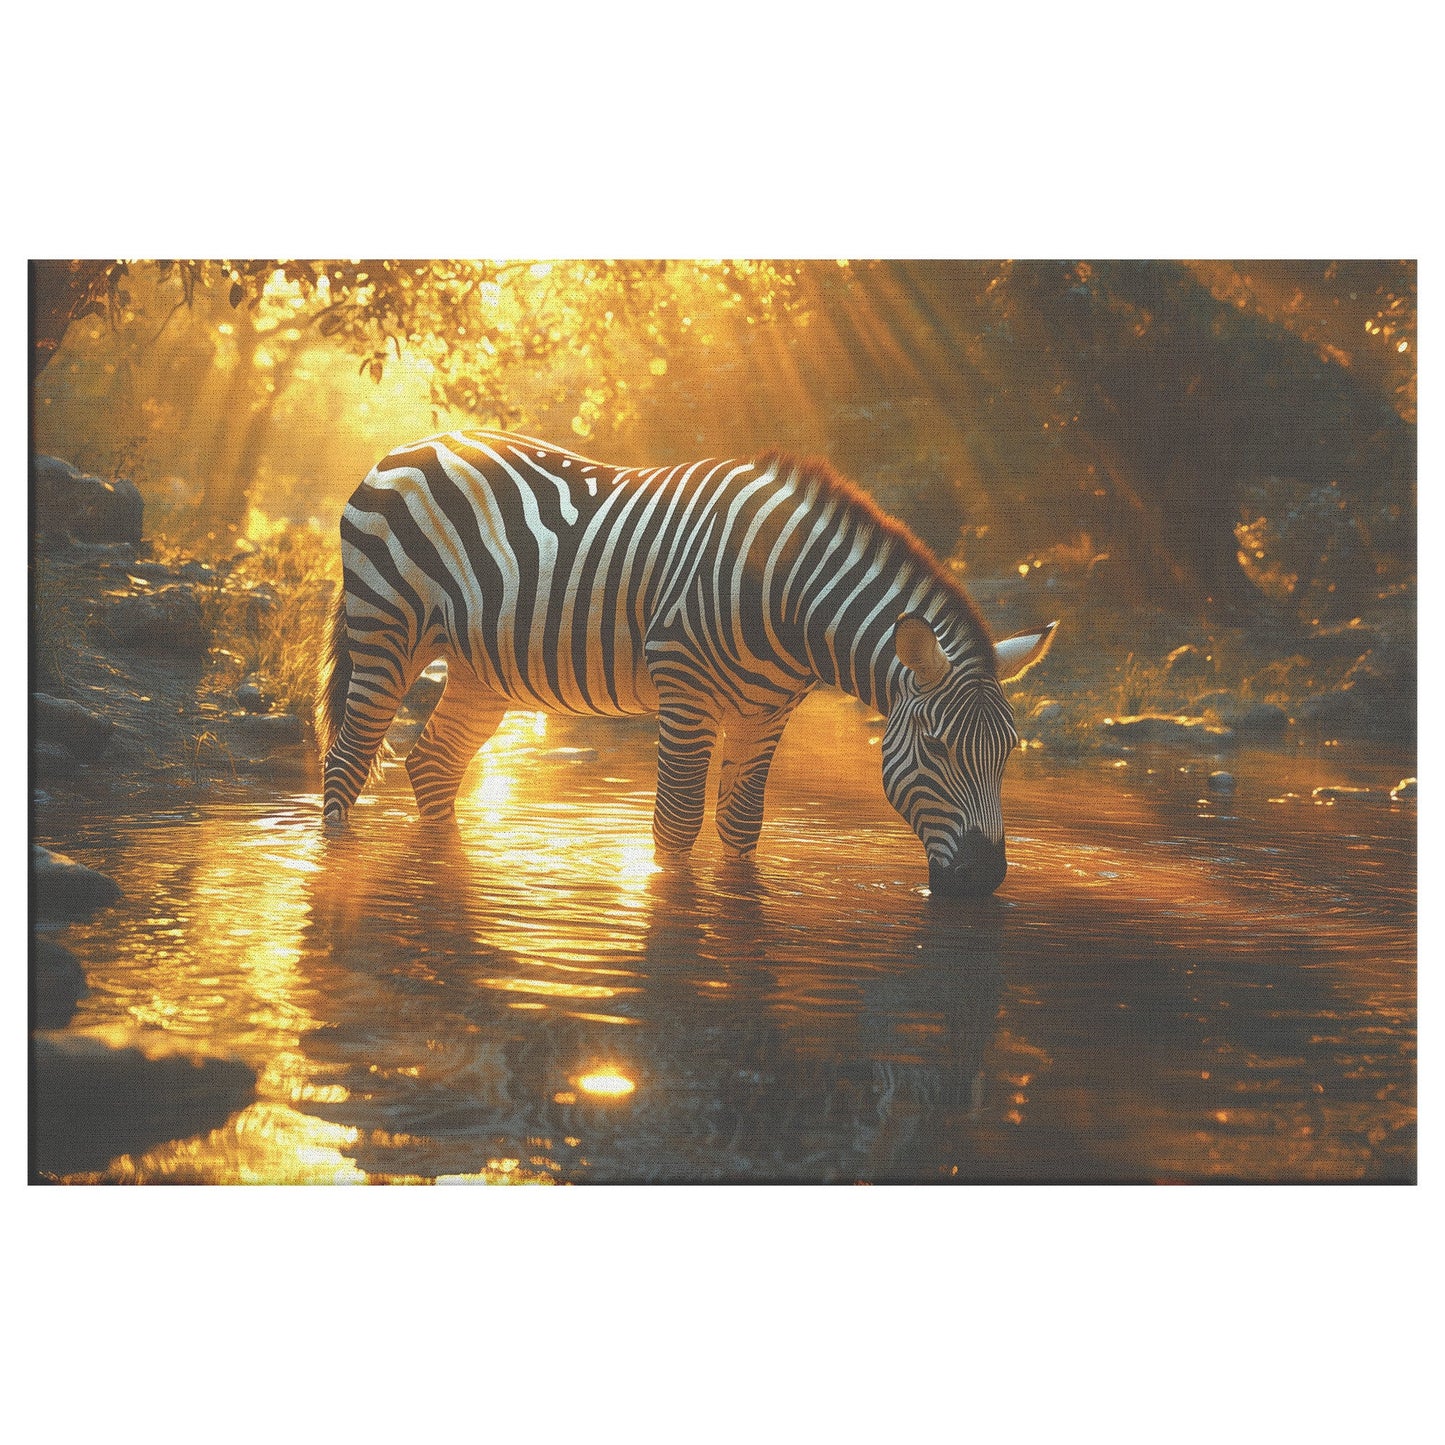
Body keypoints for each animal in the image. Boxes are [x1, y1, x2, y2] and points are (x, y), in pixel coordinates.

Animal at [317, 430, 1056, 896]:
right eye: (936, 747)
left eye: (1008, 752)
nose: (984, 881)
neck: (788, 593)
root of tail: (407, 446)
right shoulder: (684, 691)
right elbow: (674, 824)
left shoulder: (766, 710)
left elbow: (741, 824)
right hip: (385, 628)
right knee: (348, 760)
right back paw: (334, 867)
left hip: (480, 669)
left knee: (431, 764)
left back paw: (443, 863)